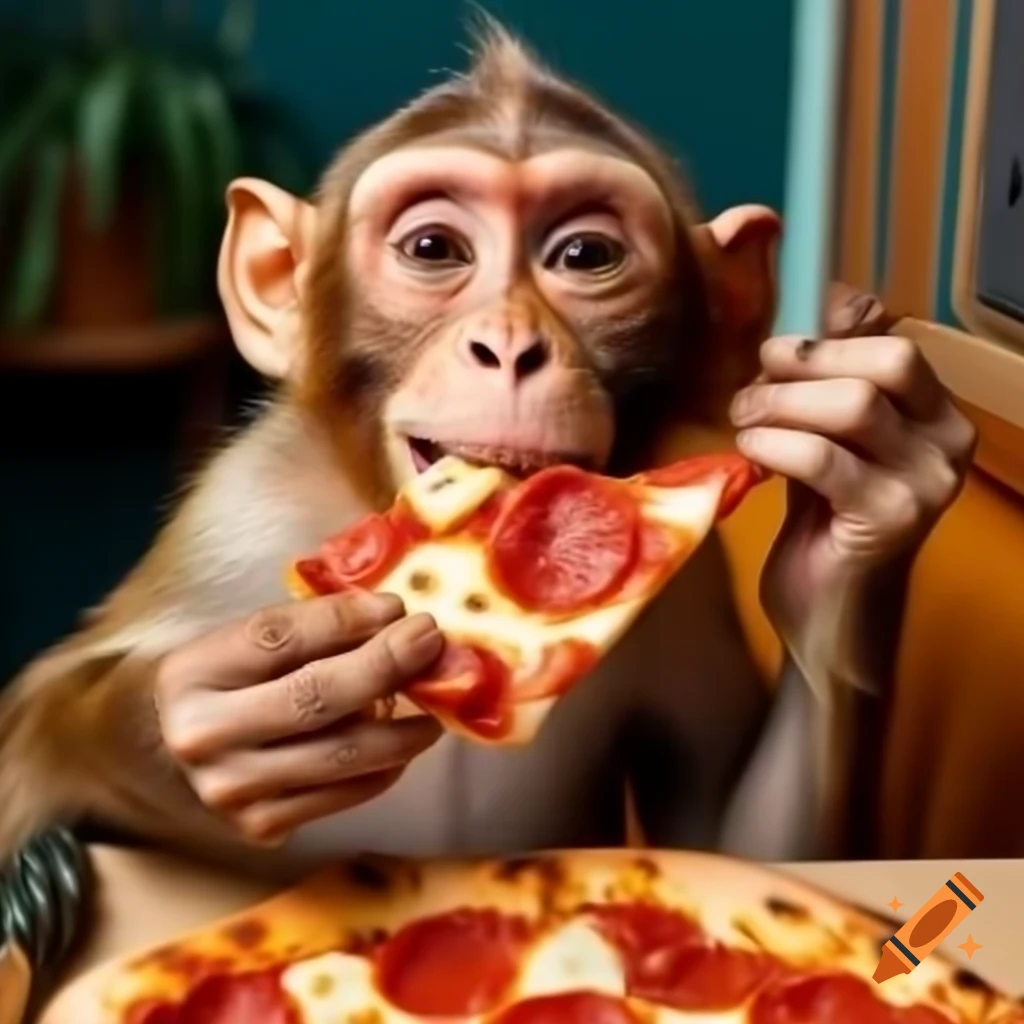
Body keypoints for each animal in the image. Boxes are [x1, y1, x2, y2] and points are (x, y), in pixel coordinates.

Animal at [0, 23, 972, 877]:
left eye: (585, 255)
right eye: (435, 248)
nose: (509, 346)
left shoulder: (690, 591)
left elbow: (730, 837)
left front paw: (854, 523)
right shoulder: (237, 521)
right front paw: (188, 724)